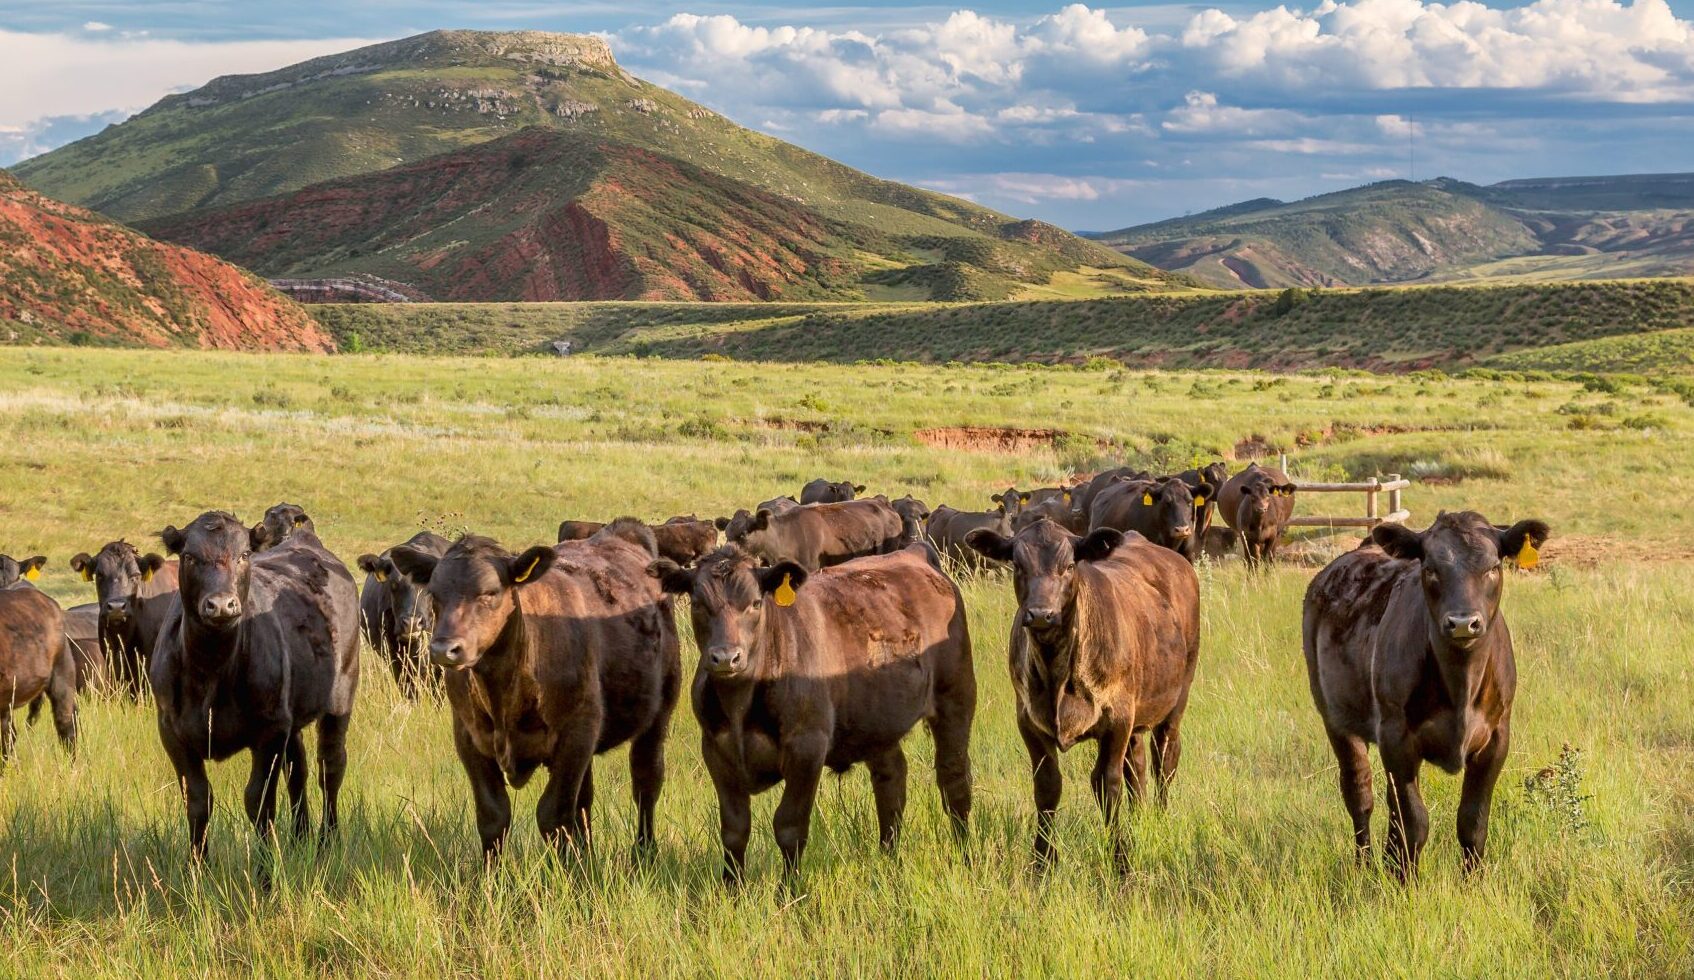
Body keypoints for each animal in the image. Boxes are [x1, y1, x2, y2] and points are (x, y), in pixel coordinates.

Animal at [151, 511, 360, 859]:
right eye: (189, 556)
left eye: (244, 554)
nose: (222, 605)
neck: (211, 671)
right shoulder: (172, 731)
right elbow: (198, 800)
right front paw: (198, 866)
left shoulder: (270, 730)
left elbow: (258, 801)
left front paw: (265, 870)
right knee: (298, 770)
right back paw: (300, 838)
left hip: (340, 696)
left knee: (330, 767)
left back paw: (326, 843)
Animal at [389, 519, 681, 860]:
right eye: (434, 593)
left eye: (490, 592)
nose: (443, 649)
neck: (505, 693)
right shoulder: (468, 736)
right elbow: (493, 815)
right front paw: (491, 875)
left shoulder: (575, 733)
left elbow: (554, 815)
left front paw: (567, 871)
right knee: (585, 799)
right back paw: (588, 854)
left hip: (659, 713)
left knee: (646, 781)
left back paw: (644, 852)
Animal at [651, 542, 974, 883]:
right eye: (698, 603)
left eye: (755, 603)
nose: (726, 657)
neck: (740, 705)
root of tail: (914, 552)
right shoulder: (715, 750)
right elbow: (734, 830)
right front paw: (731, 889)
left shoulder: (806, 747)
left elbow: (789, 826)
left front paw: (789, 890)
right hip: (877, 721)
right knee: (891, 781)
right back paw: (888, 860)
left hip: (956, 698)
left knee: (954, 781)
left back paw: (965, 855)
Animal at [966, 520, 1201, 872]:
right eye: (1018, 565)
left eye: (1069, 566)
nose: (1040, 614)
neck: (1057, 672)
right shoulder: (1028, 720)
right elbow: (1048, 786)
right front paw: (1043, 862)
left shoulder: (1117, 718)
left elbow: (1107, 783)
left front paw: (1120, 860)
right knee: (1138, 767)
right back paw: (1140, 817)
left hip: (1175, 701)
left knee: (1165, 759)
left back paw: (1158, 818)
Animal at [1303, 512, 1549, 881]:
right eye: (1431, 568)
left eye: (1493, 566)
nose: (1463, 623)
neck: (1461, 684)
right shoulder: (1396, 737)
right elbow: (1415, 822)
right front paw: (1407, 884)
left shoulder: (1496, 738)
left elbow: (1473, 821)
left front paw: (1472, 883)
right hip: (1334, 718)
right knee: (1359, 793)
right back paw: (1364, 865)